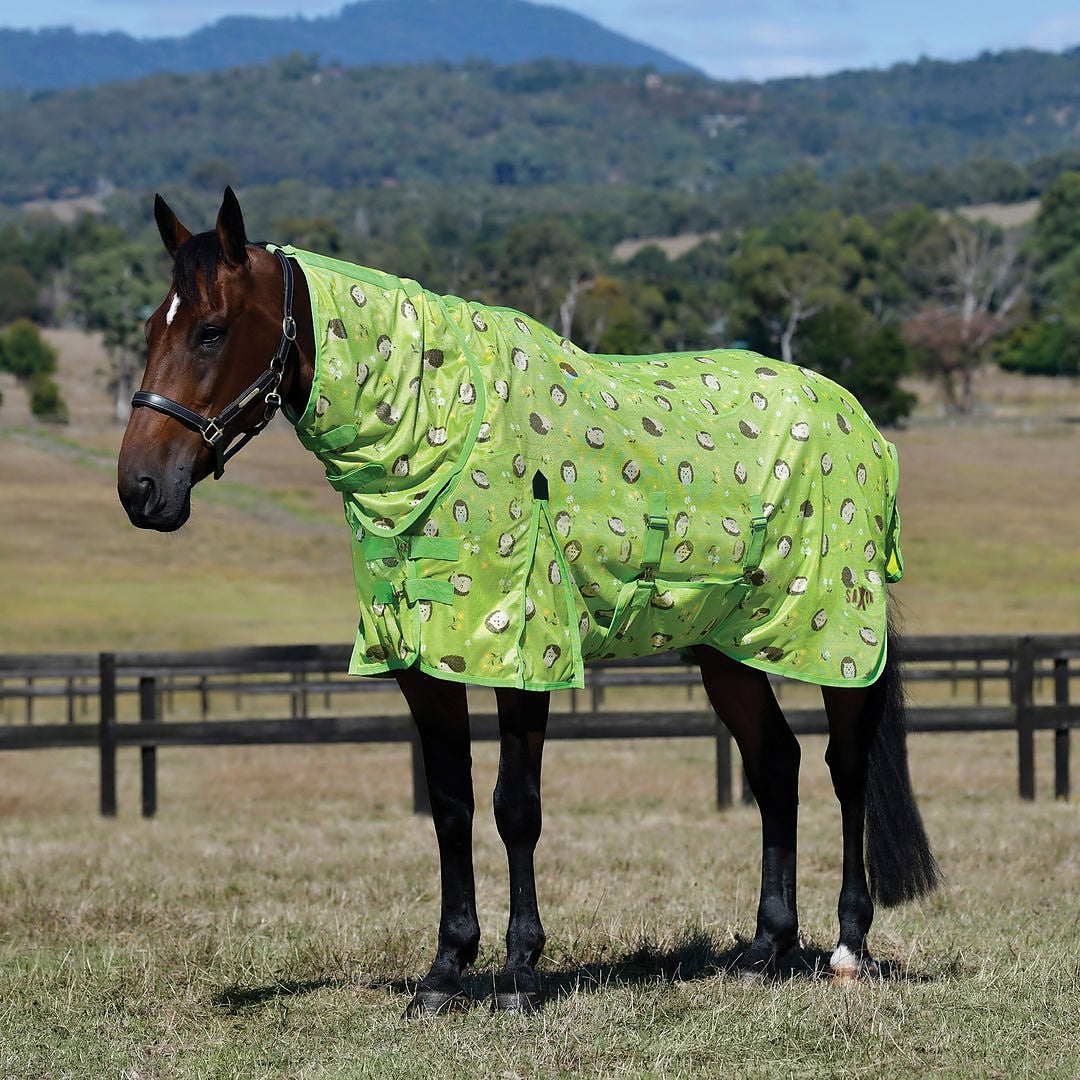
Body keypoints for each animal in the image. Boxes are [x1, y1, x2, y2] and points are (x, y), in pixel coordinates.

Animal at [118, 188, 940, 1015]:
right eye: (152, 328)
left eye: (211, 331)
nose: (140, 489)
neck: (443, 429)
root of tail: (858, 420)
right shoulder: (424, 659)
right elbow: (450, 804)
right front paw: (445, 971)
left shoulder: (523, 651)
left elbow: (516, 807)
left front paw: (517, 971)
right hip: (726, 650)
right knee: (775, 764)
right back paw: (766, 947)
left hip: (839, 642)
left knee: (845, 768)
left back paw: (848, 947)